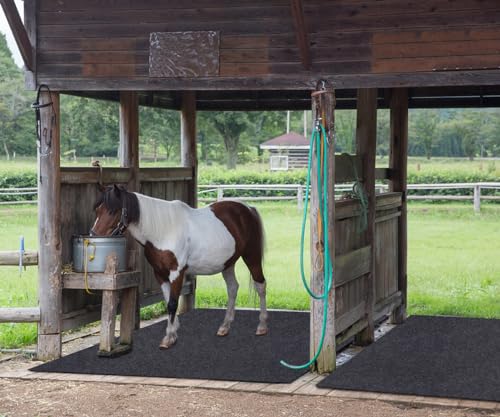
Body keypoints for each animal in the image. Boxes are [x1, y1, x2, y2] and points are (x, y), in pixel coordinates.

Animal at [91, 185, 268, 348]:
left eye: (113, 211)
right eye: (98, 210)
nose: (93, 236)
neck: (164, 231)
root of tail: (248, 209)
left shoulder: (176, 273)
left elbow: (172, 303)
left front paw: (169, 337)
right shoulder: (160, 274)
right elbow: (168, 300)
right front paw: (173, 331)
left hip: (251, 257)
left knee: (260, 285)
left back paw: (262, 326)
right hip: (228, 263)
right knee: (232, 288)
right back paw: (225, 327)